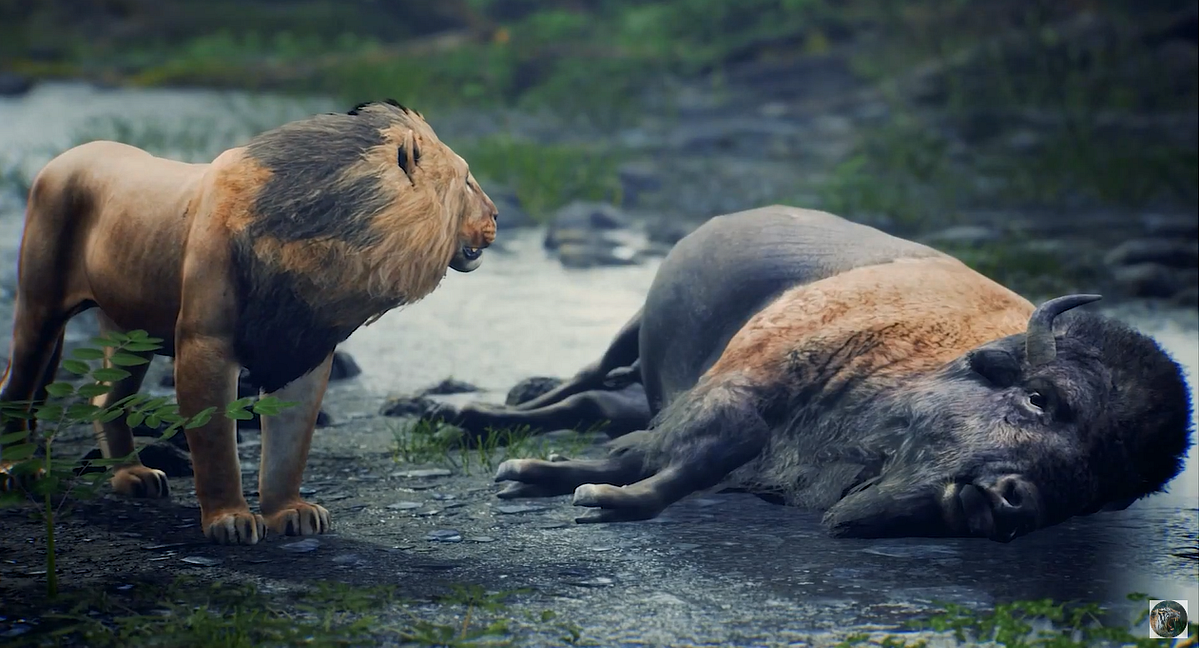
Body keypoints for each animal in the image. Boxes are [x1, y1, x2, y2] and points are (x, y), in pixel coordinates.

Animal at [0, 100, 498, 545]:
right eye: (468, 182)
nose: (496, 214)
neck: (331, 237)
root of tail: (65, 155)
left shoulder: (303, 349)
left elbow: (289, 446)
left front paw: (290, 513)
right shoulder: (204, 346)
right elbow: (216, 444)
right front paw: (229, 521)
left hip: (130, 332)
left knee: (105, 398)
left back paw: (132, 477)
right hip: (41, 310)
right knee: (18, 385)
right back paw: (17, 470)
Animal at [437, 206, 1193, 542]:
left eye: (1104, 486)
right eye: (1040, 398)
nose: (1016, 499)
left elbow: (653, 456)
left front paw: (573, 484)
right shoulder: (746, 387)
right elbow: (701, 449)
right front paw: (570, 485)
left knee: (598, 399)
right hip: (633, 328)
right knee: (589, 376)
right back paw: (468, 411)